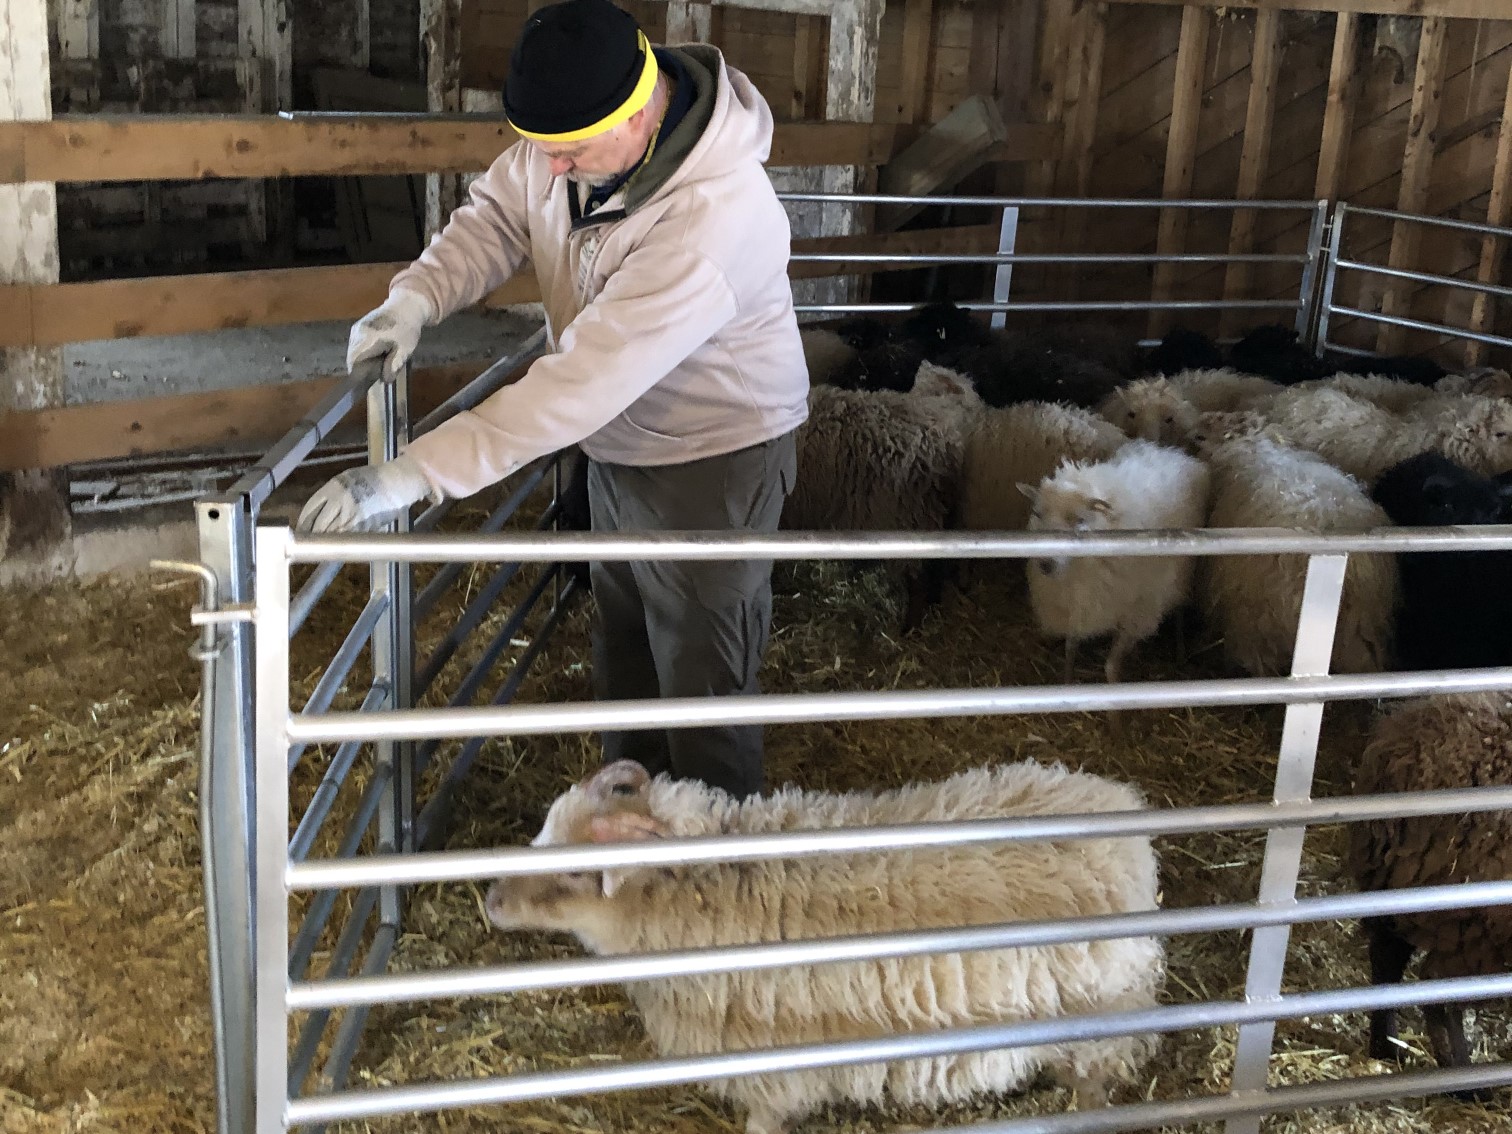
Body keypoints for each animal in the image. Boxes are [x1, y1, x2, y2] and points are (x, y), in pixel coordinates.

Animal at [484, 758, 1166, 1134]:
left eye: (577, 873)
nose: (490, 900)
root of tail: (1127, 823)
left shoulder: (771, 1065)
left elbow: (766, 1119)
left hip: (1102, 1018)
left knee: (1099, 1077)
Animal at [782, 362, 984, 631]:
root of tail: (945, 444)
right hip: (936, 516)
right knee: (938, 566)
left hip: (906, 518)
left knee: (918, 579)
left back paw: (910, 628)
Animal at [1021, 441, 1211, 685]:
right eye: (1037, 513)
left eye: (1080, 519)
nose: (1045, 564)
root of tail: (1173, 452)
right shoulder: (1076, 608)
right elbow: (1070, 648)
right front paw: (1068, 681)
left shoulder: (1136, 616)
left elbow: (1110, 666)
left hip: (1180, 571)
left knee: (1178, 605)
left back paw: (1179, 650)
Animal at [1347, 692, 1512, 1091]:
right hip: (1478, 925)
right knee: (1440, 993)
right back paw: (1468, 1085)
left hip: (1396, 886)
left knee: (1387, 959)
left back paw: (1386, 1046)